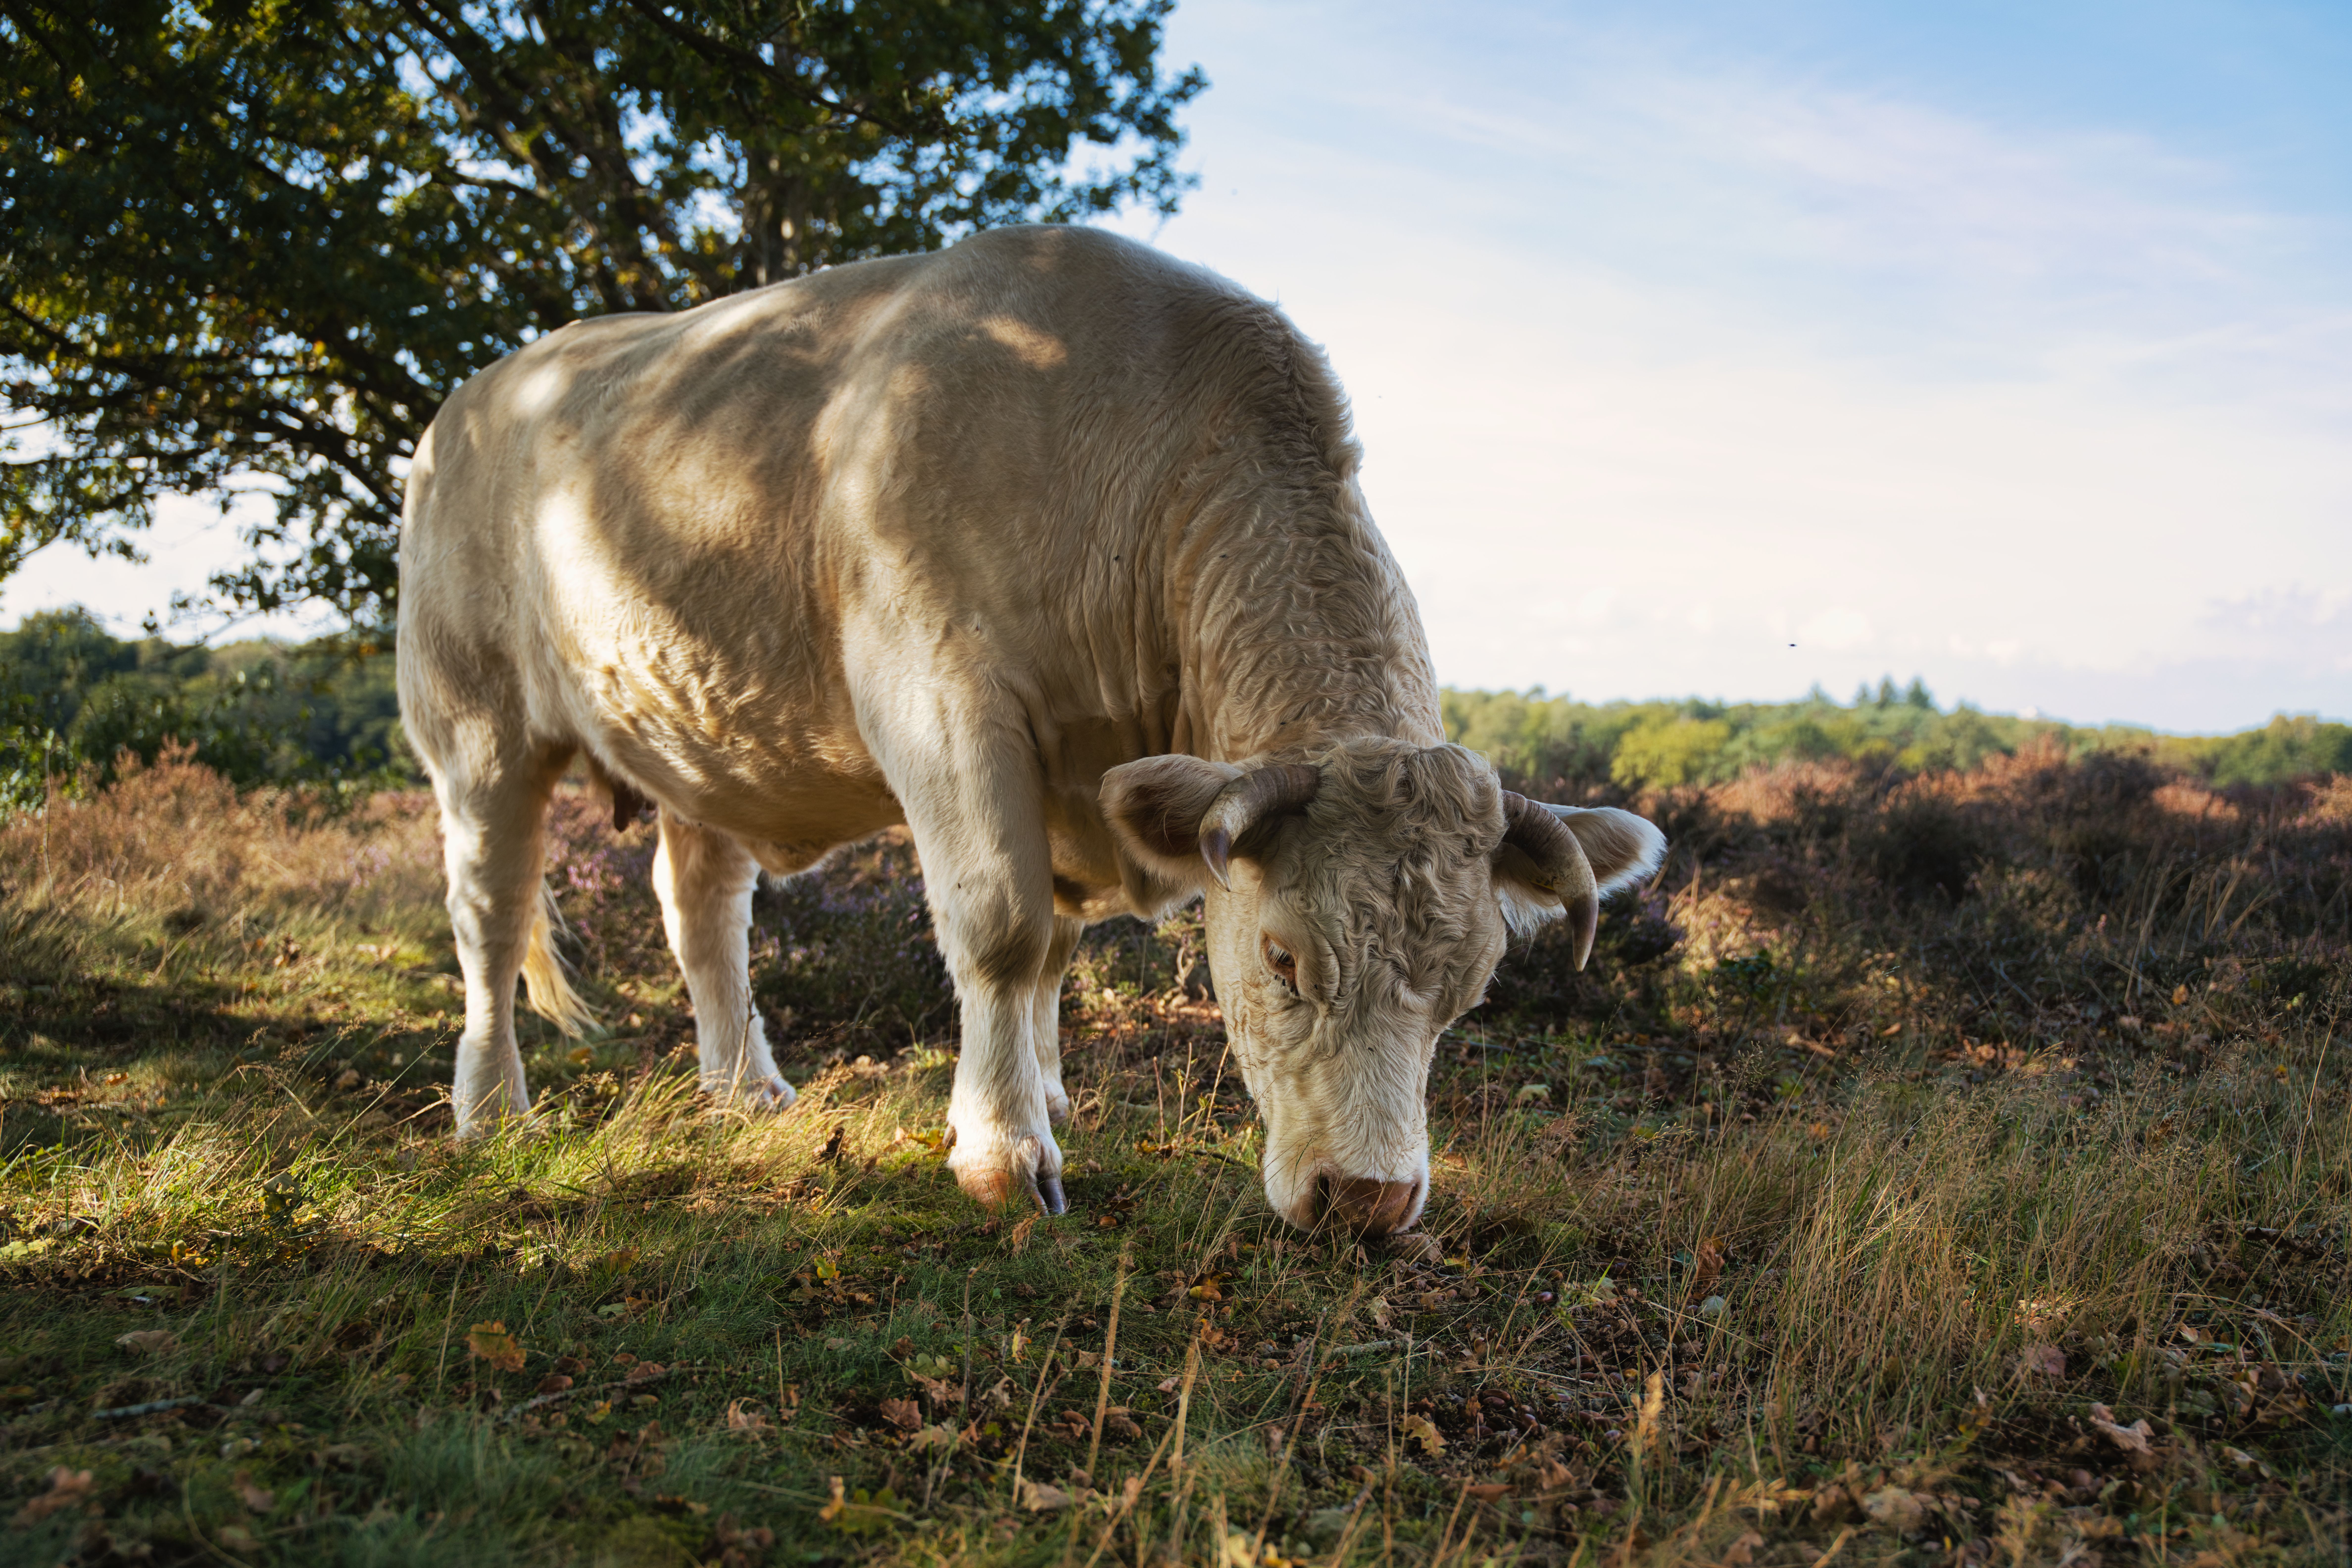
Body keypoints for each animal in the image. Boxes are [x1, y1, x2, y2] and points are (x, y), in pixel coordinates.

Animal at [396, 225, 1664, 1235]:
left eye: (1471, 989)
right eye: (1281, 959)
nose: (1369, 1201)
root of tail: (481, 393)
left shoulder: (1082, 780)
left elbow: (1054, 948)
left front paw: (1045, 1096)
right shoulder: (942, 700)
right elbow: (1003, 929)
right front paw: (1003, 1152)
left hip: (695, 734)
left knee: (701, 911)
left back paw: (743, 1090)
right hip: (474, 729)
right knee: (491, 916)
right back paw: (491, 1108)